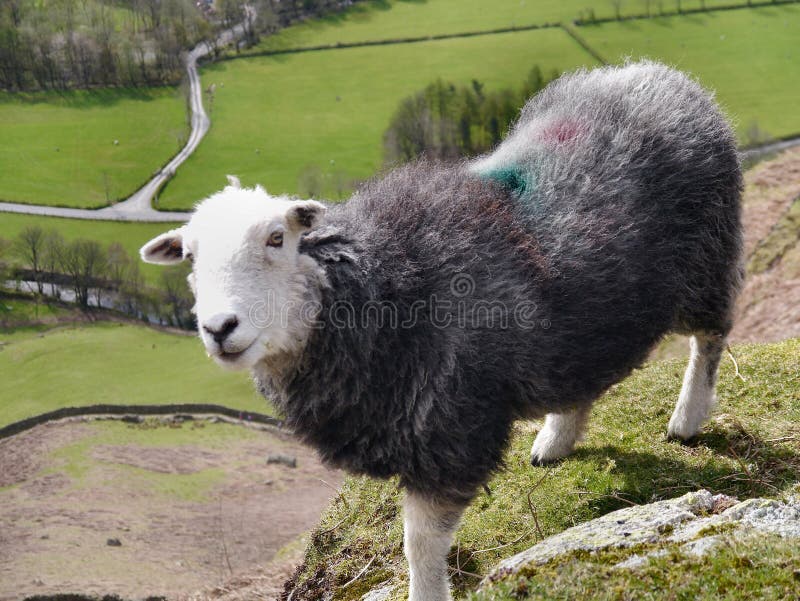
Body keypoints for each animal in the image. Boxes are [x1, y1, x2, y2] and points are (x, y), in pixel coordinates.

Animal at [140, 61, 743, 600]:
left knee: (710, 339)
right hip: (587, 315)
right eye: (188, 257)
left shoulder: (450, 432)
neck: (381, 293)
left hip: (707, 261)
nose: (219, 327)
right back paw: (556, 439)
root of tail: (661, 75)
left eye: (276, 238)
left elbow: (419, 547)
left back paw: (688, 417)